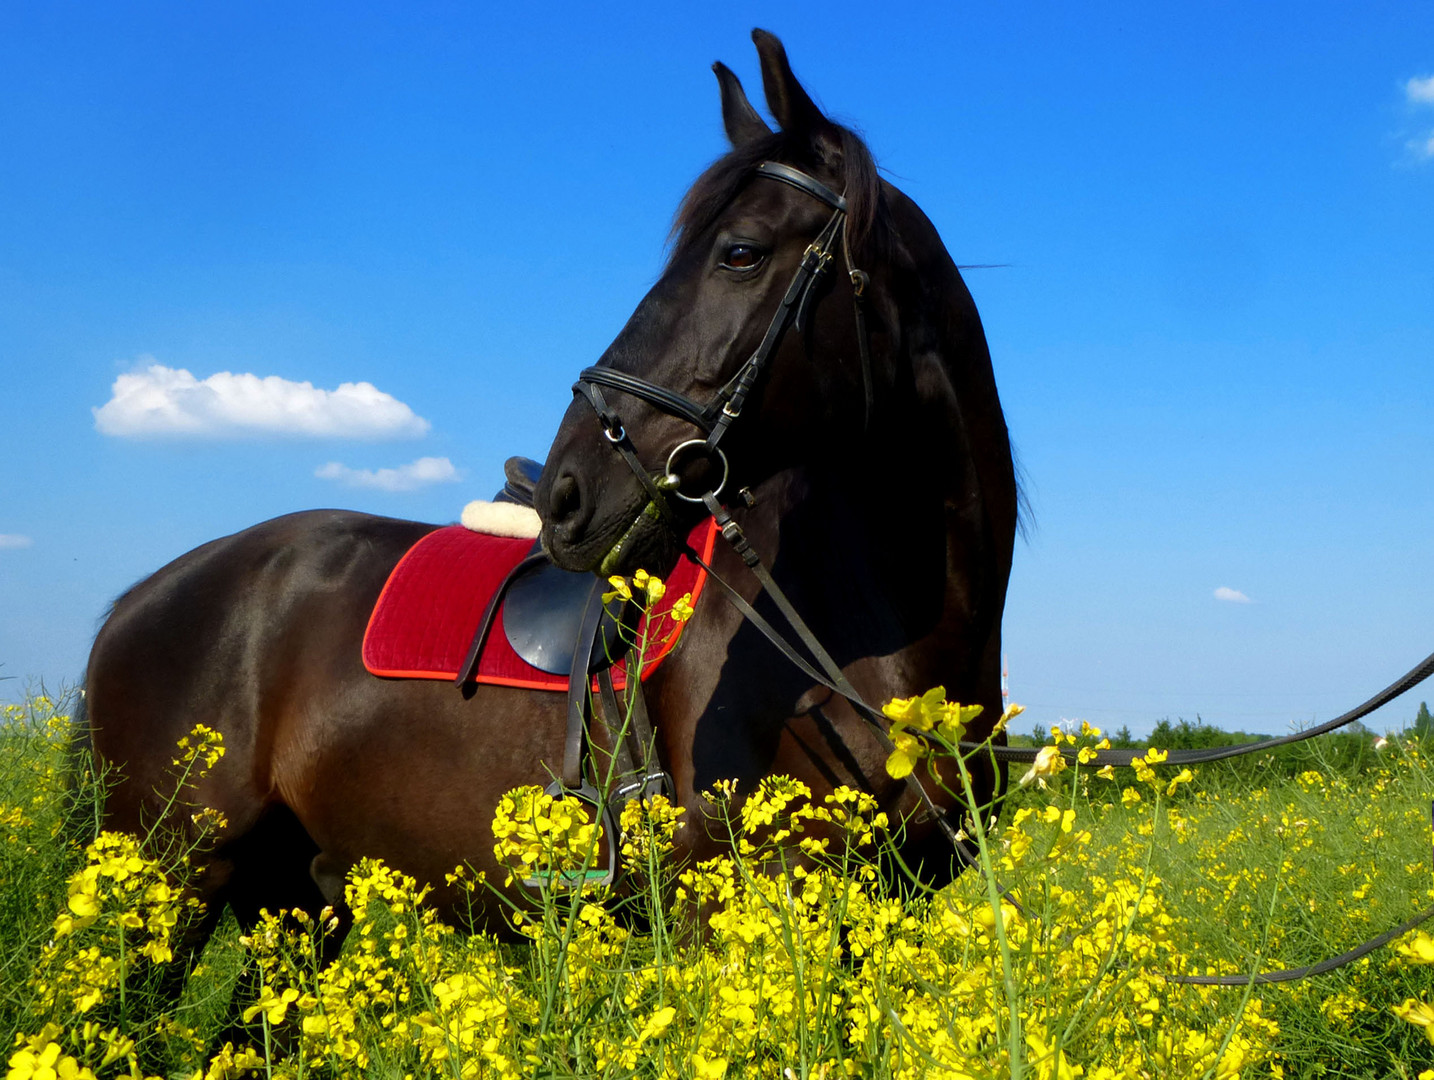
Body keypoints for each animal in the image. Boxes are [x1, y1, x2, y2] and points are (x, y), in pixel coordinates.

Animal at [82, 28, 1017, 991]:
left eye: (741, 253)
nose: (568, 490)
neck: (859, 626)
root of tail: (143, 596)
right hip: (171, 886)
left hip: (296, 896)